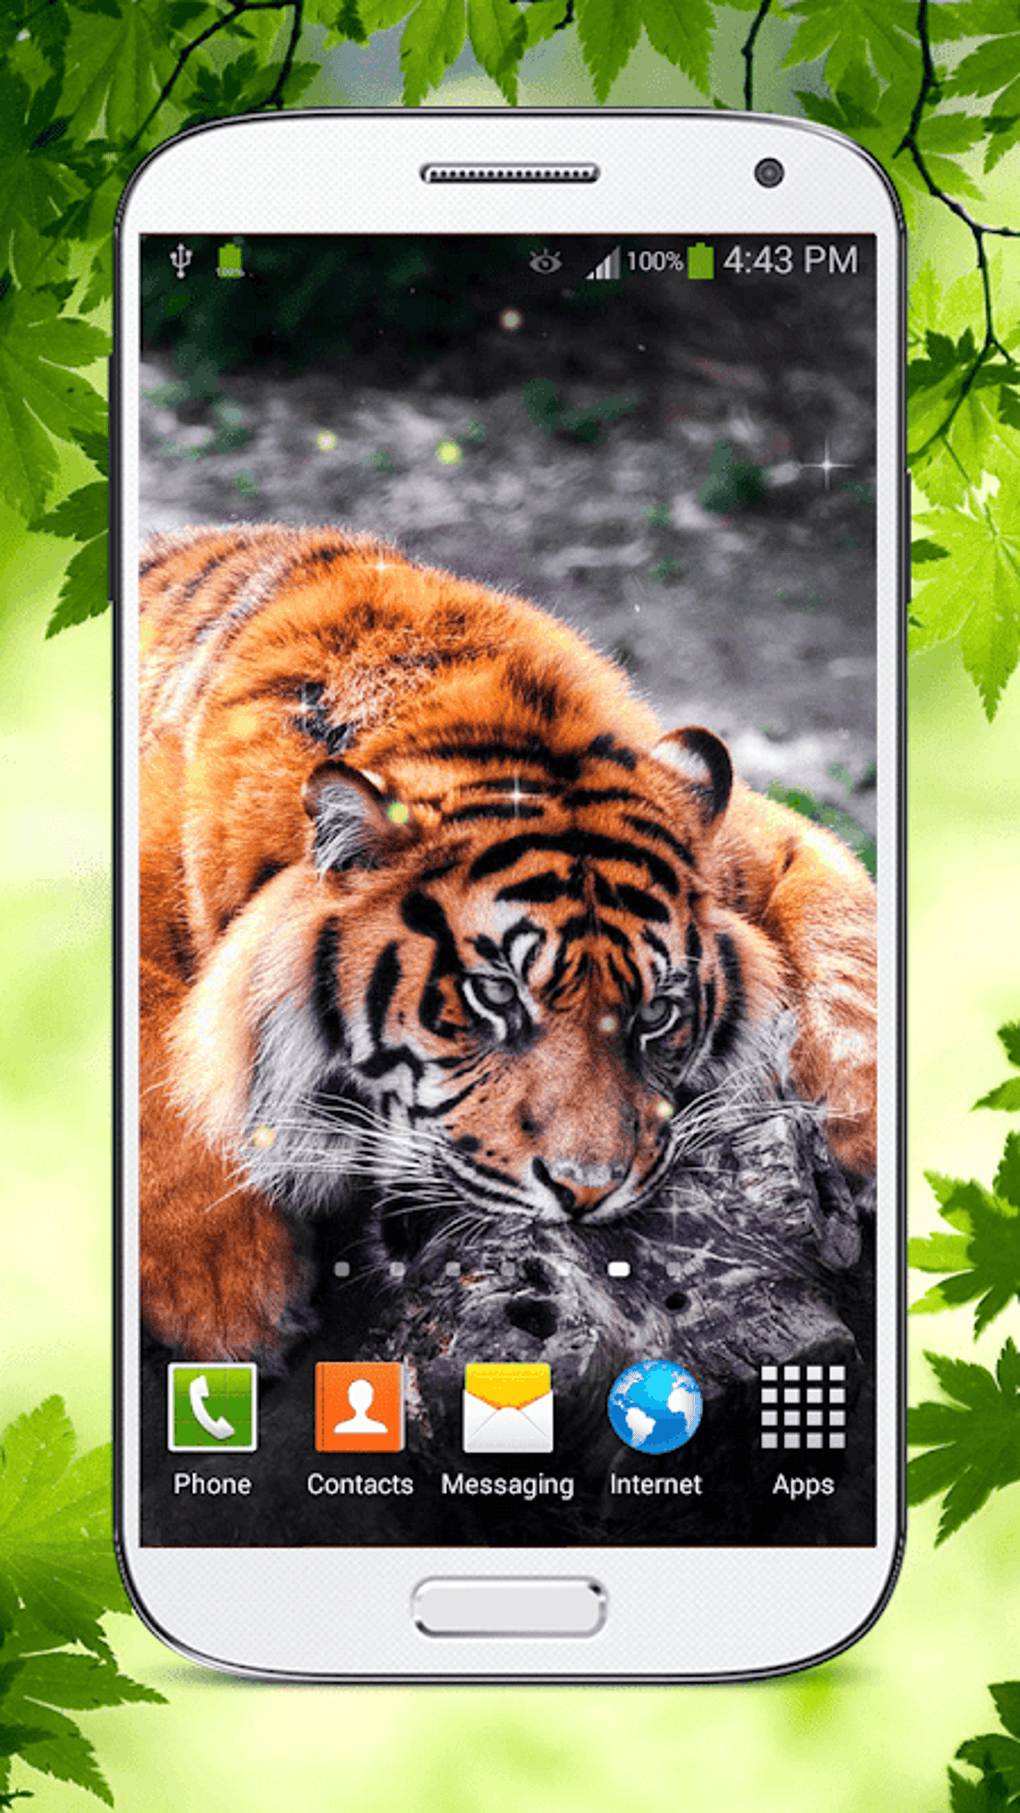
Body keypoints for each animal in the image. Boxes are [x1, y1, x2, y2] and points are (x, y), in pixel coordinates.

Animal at [137, 522, 877, 1364]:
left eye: (656, 1013)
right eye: (492, 993)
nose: (588, 1189)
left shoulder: (764, 841)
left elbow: (848, 938)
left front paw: (867, 1145)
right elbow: (156, 1062)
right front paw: (228, 1295)